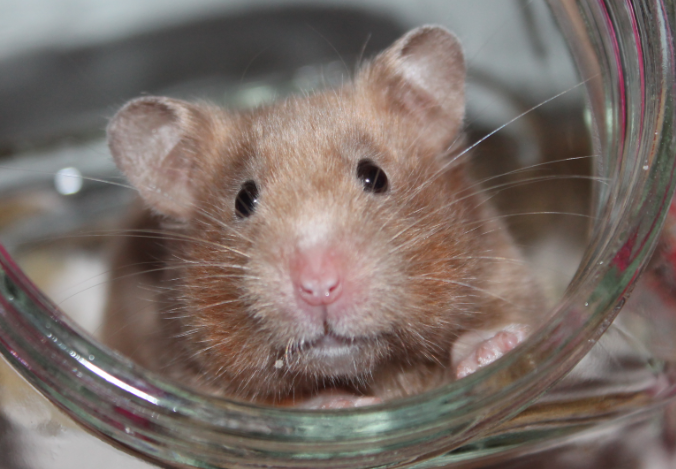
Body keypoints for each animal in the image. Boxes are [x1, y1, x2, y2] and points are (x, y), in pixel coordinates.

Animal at [101, 25, 544, 408]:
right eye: (243, 200)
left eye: (374, 176)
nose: (319, 287)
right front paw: (341, 404)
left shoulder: (504, 266)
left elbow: (506, 316)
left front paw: (493, 348)